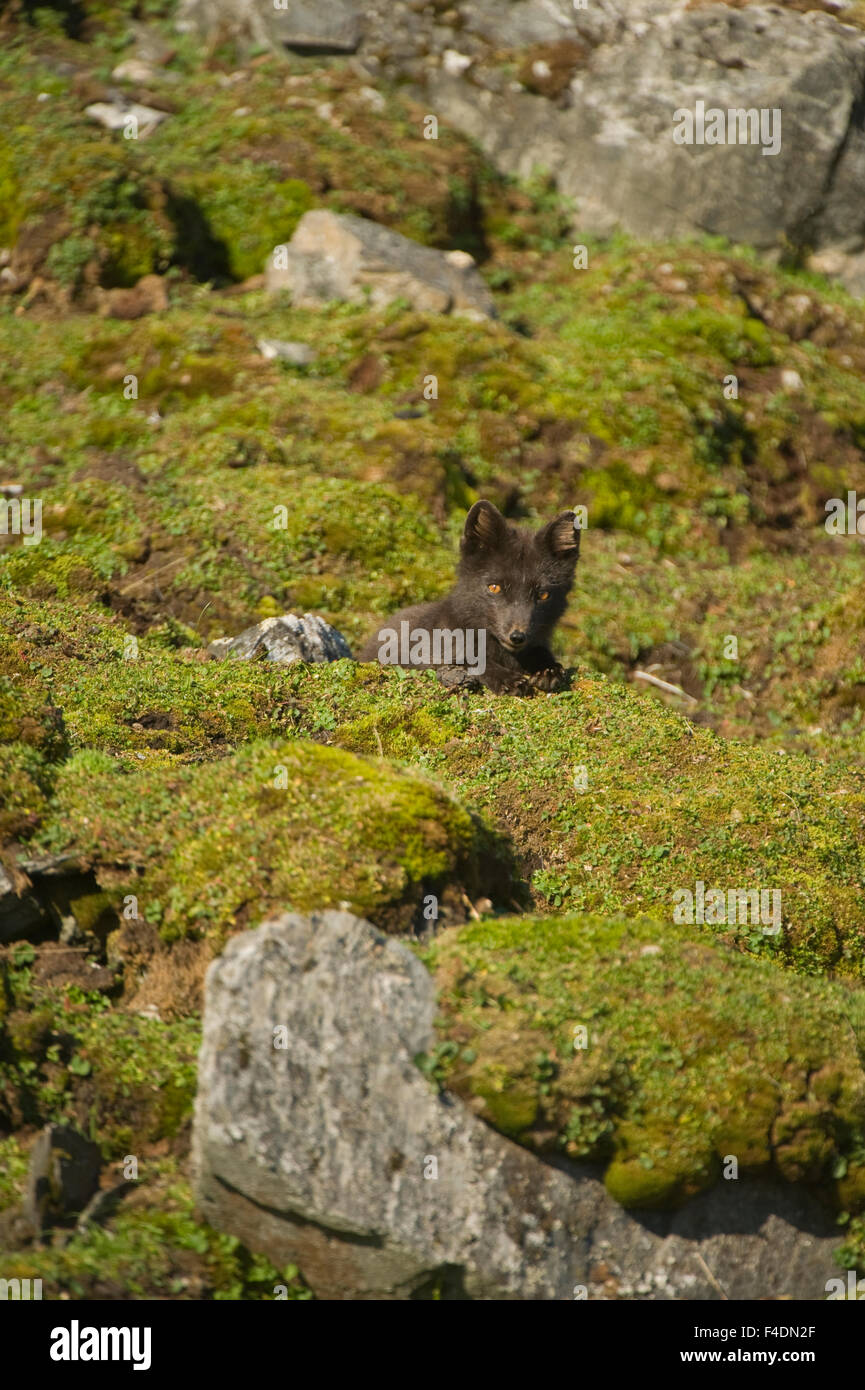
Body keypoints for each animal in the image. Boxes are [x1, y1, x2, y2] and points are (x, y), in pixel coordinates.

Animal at [358, 500, 580, 695]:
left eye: (543, 594)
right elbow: (470, 658)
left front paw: (548, 669)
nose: (517, 636)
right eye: (495, 587)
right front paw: (507, 679)